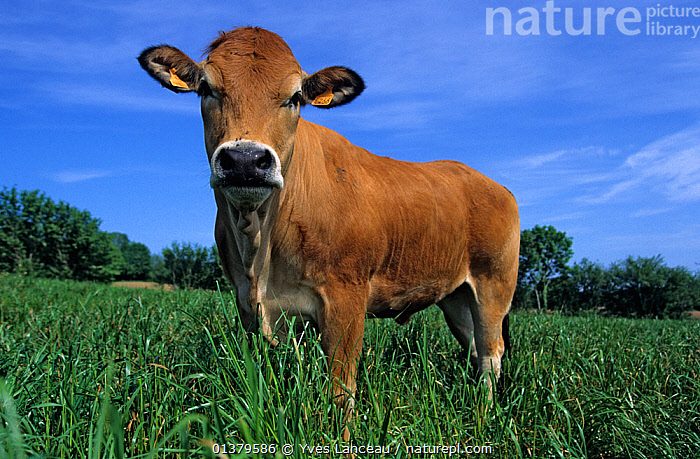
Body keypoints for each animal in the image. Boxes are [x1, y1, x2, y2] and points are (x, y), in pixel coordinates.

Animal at [138, 26, 519, 438]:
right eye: (206, 88)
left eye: (295, 97)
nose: (245, 160)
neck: (261, 249)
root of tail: (490, 183)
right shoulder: (248, 302)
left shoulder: (345, 297)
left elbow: (340, 390)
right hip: (457, 296)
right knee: (474, 348)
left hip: (494, 285)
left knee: (491, 353)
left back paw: (485, 414)